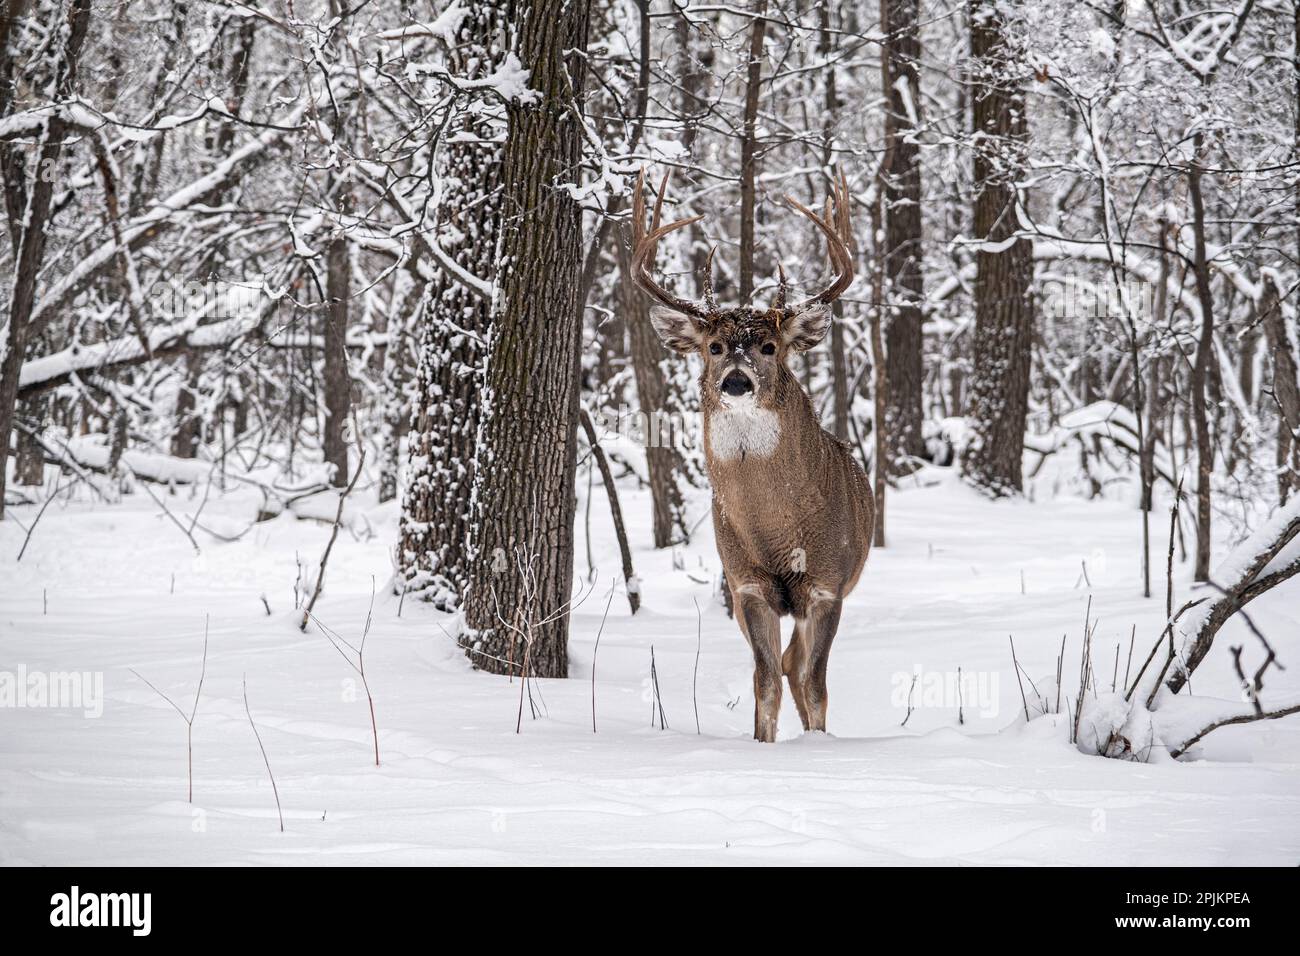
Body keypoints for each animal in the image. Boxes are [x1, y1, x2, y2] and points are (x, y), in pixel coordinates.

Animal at [629, 170, 875, 743]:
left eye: (769, 347)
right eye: (714, 346)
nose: (736, 382)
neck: (776, 528)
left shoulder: (826, 585)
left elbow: (815, 683)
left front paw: (818, 745)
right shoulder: (747, 585)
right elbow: (766, 682)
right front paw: (764, 745)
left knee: (799, 666)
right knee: (783, 665)